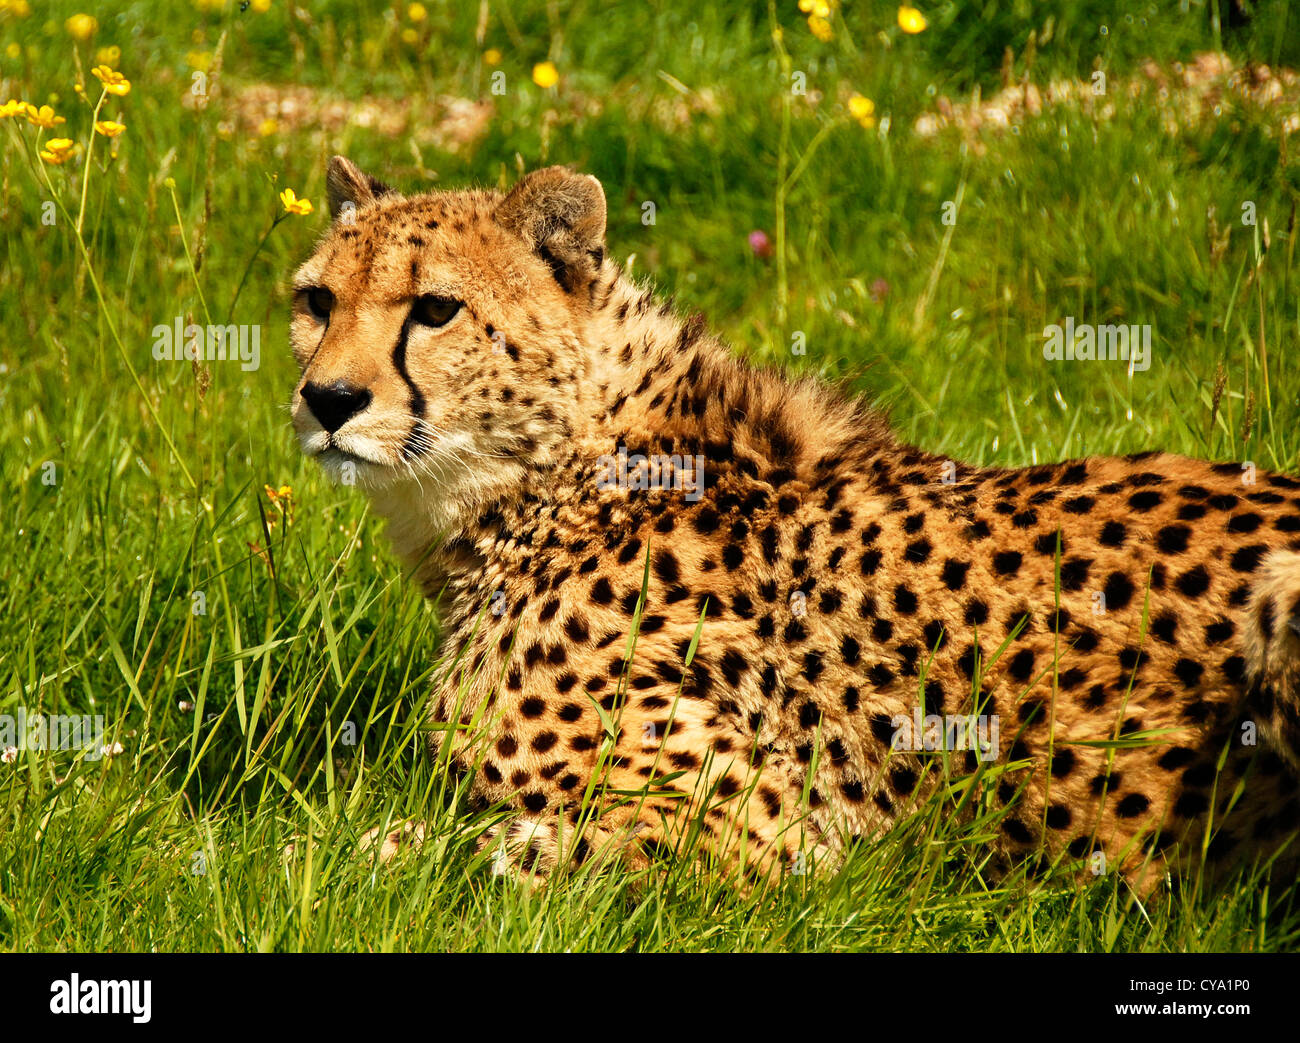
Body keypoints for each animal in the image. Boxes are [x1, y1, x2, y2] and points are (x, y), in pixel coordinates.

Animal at [288, 156, 1300, 892]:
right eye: (316, 301)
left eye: (436, 308)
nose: (327, 399)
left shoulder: (761, 823)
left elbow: (470, 846)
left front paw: (321, 848)